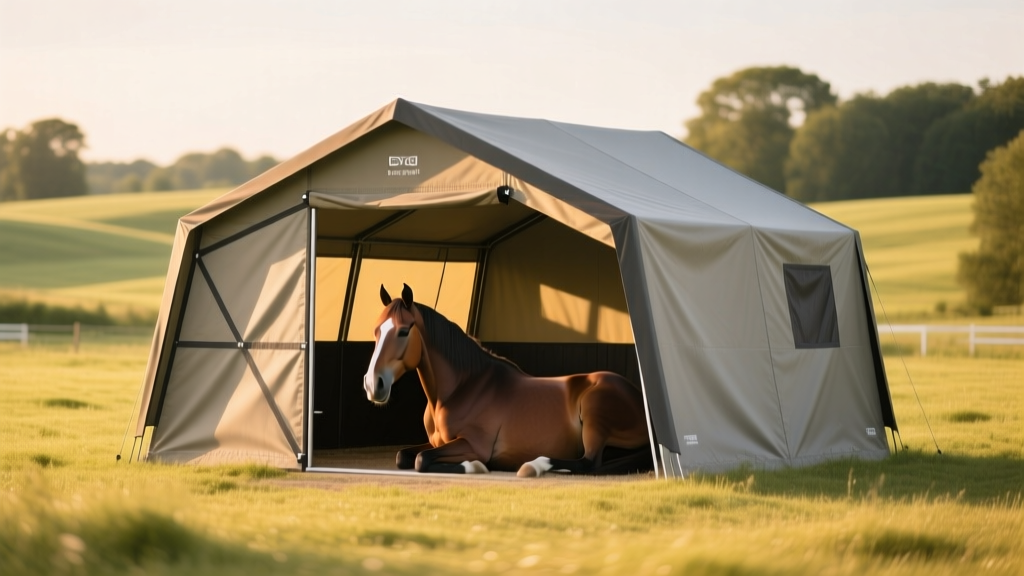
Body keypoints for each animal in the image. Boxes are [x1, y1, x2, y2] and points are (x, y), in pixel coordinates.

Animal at [362, 283, 652, 477]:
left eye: (403, 331)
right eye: (376, 330)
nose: (373, 384)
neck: (463, 389)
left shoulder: (472, 445)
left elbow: (422, 460)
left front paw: (476, 466)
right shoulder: (436, 443)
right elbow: (403, 455)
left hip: (594, 414)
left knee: (589, 462)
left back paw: (534, 466)